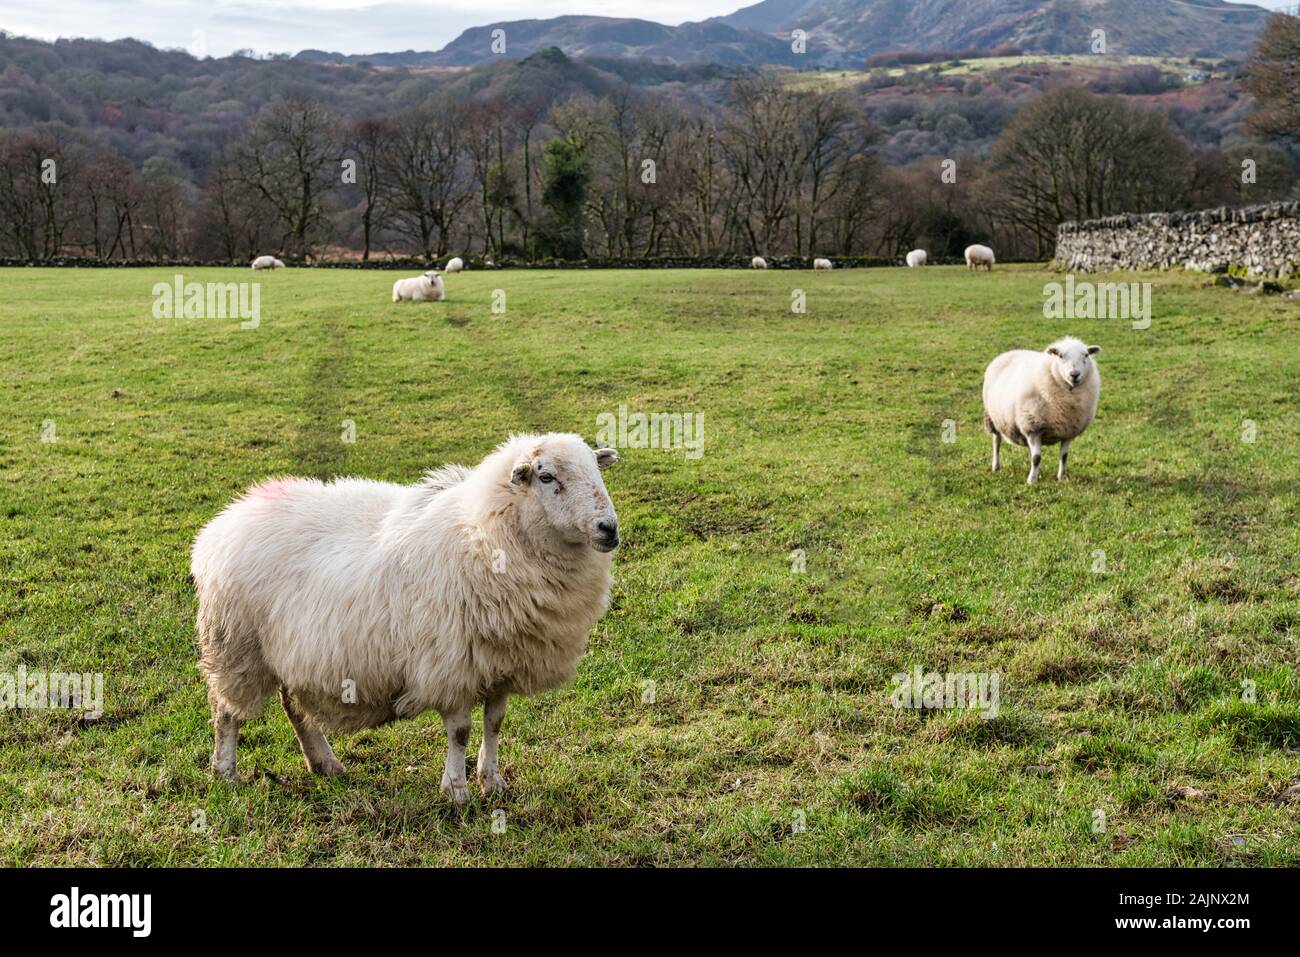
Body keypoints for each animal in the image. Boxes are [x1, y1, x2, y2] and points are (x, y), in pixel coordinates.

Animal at [191, 433, 622, 804]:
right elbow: (461, 732)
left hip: (288, 653)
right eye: (547, 477)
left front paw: (493, 782)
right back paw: (226, 772)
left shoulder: (502, 661)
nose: (609, 529)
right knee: (226, 712)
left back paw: (325, 764)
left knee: (294, 706)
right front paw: (457, 791)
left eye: (597, 470)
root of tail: (227, 518)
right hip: (236, 645)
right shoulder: (452, 663)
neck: (483, 534)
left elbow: (495, 723)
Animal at [982, 337, 1101, 484]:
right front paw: (1032, 481)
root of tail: (1008, 352)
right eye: (1060, 356)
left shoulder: (1068, 431)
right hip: (993, 418)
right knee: (996, 442)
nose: (1074, 374)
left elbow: (1064, 456)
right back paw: (996, 466)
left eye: (1086, 355)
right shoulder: (1033, 427)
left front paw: (1061, 477)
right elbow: (1037, 458)